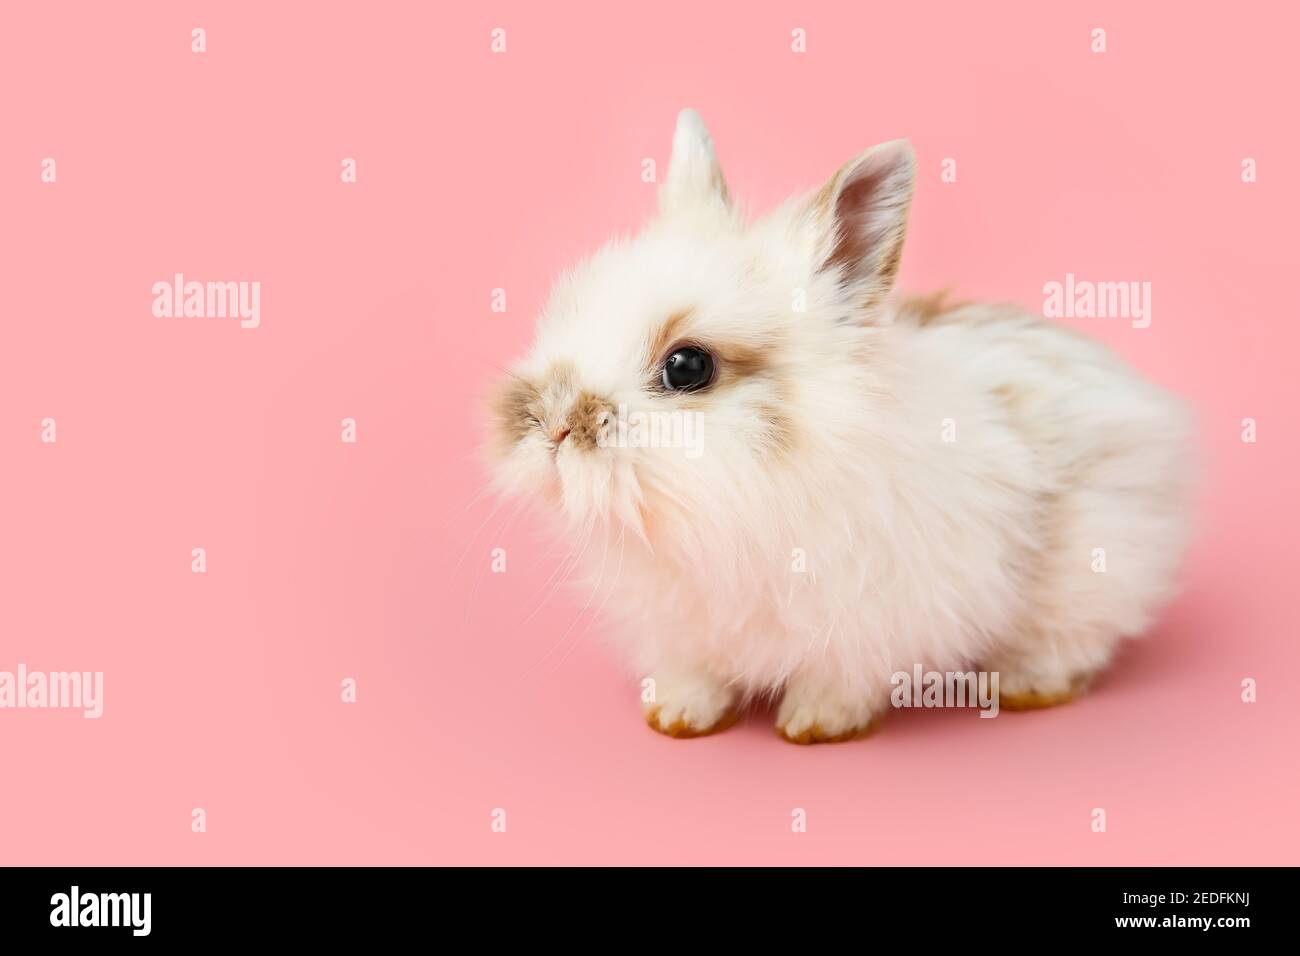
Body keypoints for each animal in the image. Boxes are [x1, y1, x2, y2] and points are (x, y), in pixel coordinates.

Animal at [486, 108, 1194, 743]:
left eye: (687, 366)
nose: (550, 425)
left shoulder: (874, 621)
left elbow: (842, 680)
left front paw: (816, 725)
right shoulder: (677, 629)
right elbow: (694, 676)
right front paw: (679, 717)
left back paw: (1027, 686)